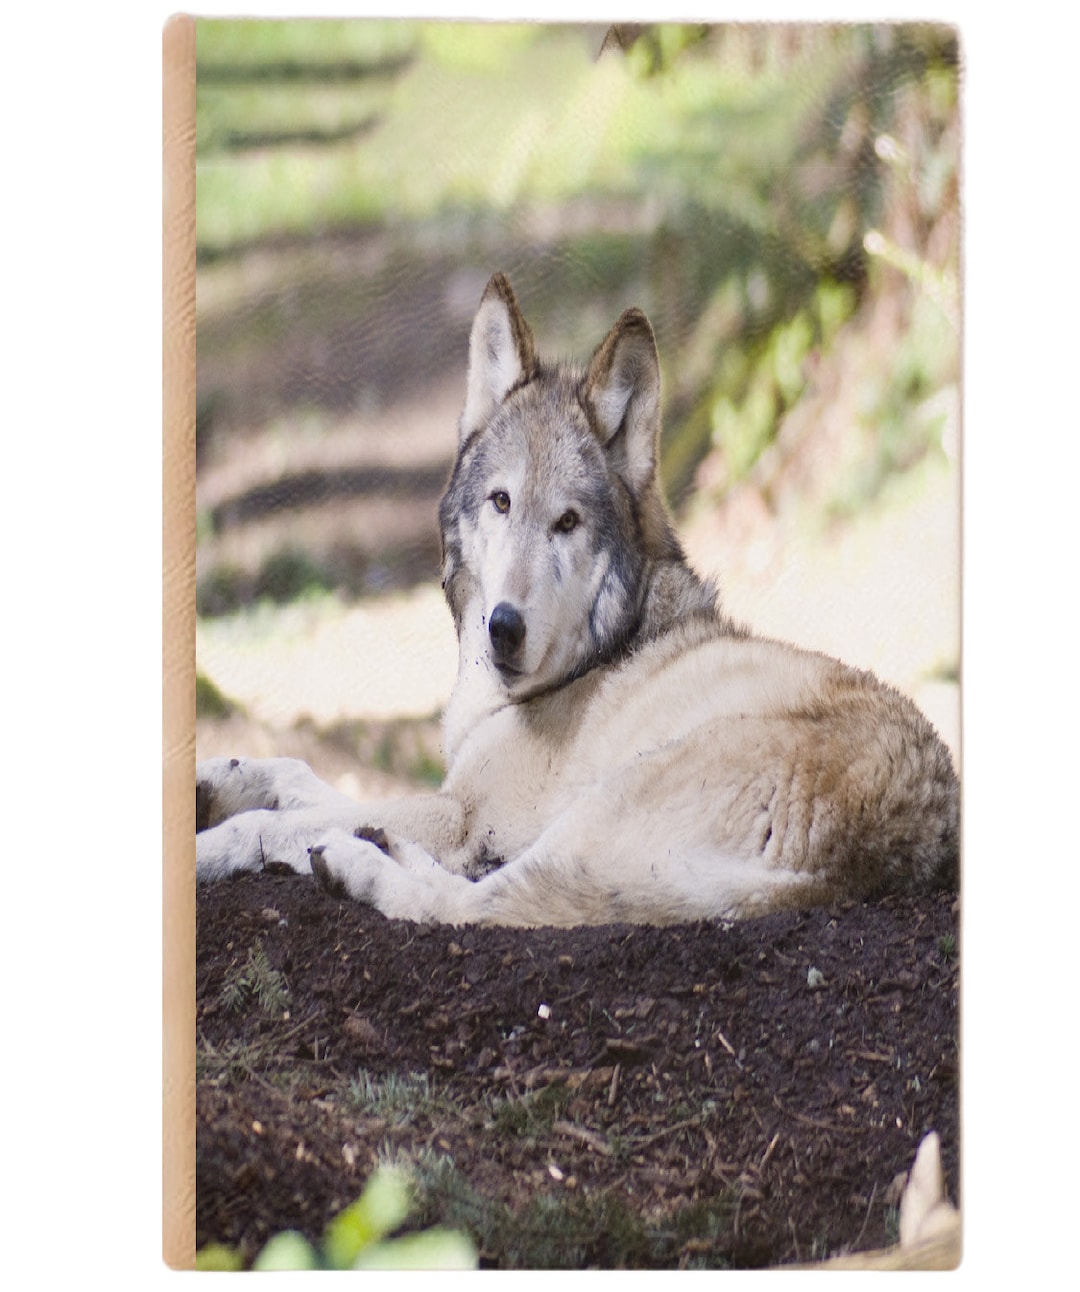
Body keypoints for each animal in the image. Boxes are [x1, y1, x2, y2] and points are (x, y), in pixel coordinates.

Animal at [195, 273, 959, 927]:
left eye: (567, 522)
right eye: (501, 501)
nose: (504, 628)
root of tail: (868, 854)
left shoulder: (464, 813)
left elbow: (276, 822)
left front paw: (212, 847)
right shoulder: (450, 793)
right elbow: (297, 773)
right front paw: (216, 774)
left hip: (607, 797)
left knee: (475, 905)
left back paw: (358, 861)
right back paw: (378, 844)